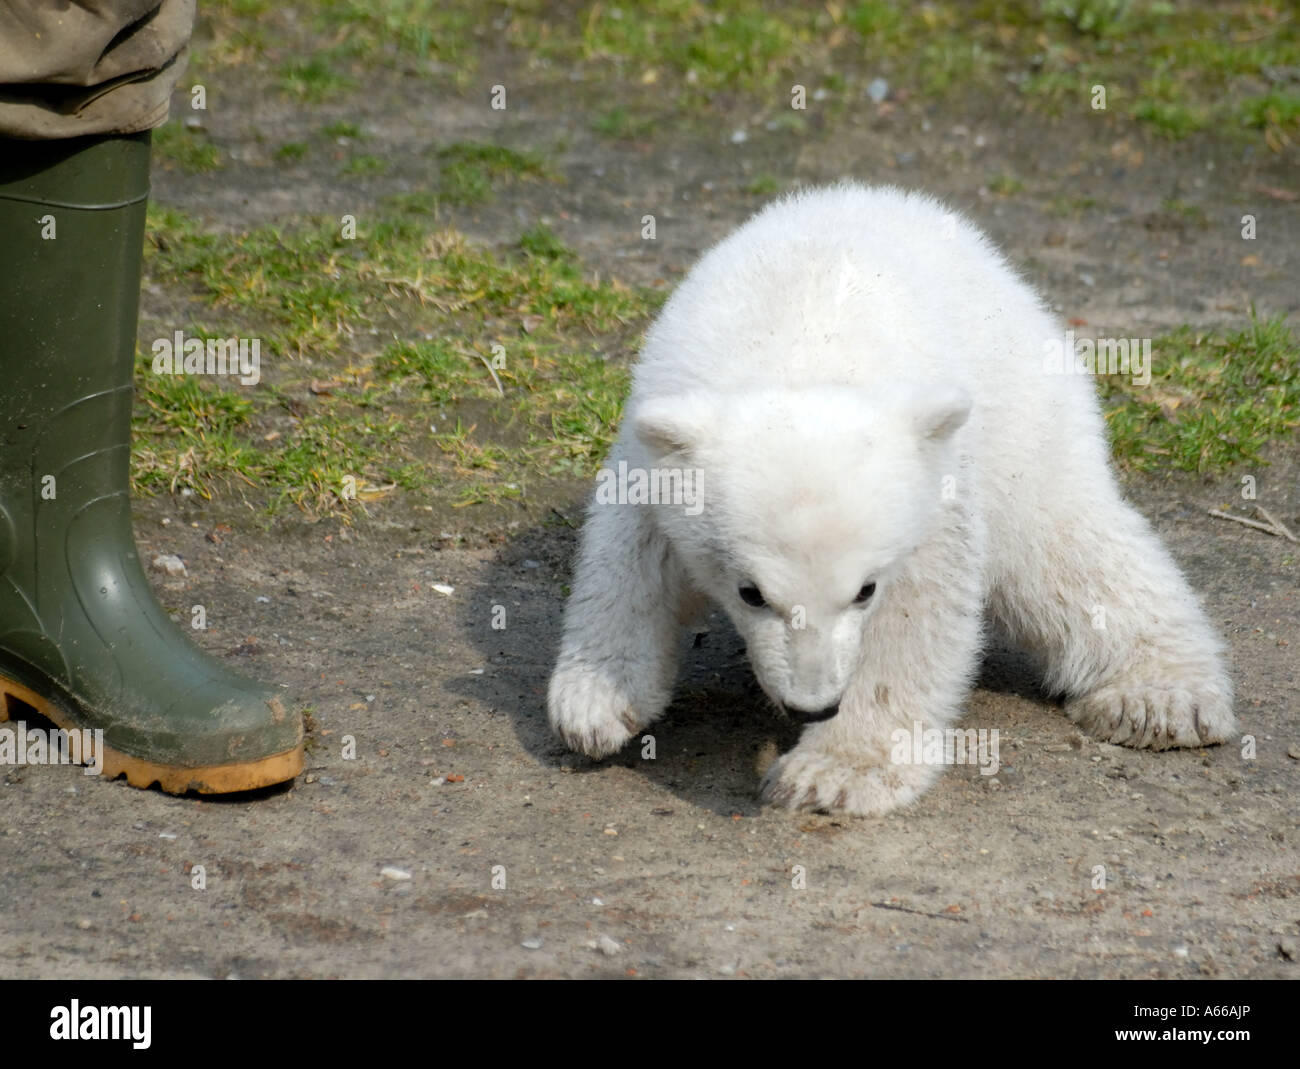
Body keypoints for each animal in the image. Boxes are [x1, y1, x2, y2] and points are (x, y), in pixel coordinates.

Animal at [548, 182, 1236, 816]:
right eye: (752, 592)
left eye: (863, 590)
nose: (812, 703)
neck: (798, 358)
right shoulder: (656, 440)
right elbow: (629, 561)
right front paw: (595, 703)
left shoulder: (931, 487)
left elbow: (916, 618)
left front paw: (830, 773)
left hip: (1026, 421)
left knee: (1064, 556)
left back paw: (1157, 700)